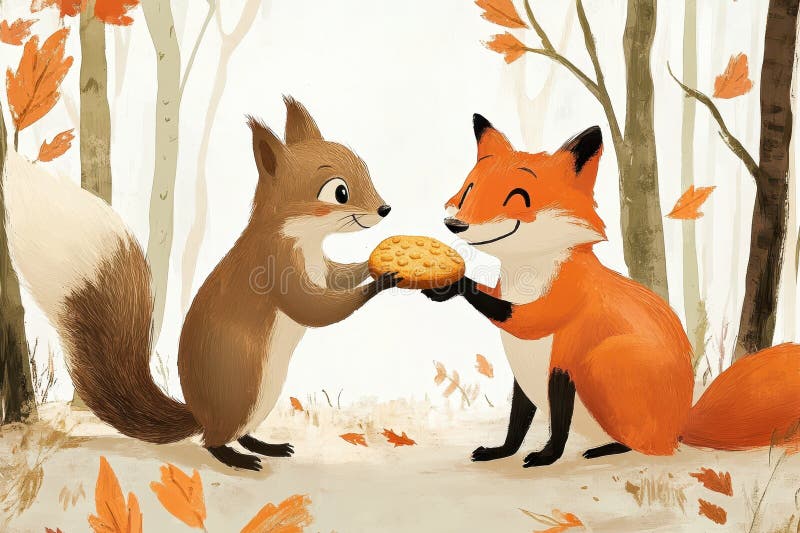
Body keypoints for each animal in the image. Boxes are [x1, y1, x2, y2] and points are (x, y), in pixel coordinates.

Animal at [4, 96, 400, 471]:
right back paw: (238, 458)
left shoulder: (323, 268)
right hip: (242, 390)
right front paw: (383, 281)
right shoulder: (275, 268)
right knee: (213, 442)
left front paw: (375, 262)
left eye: (364, 166)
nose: (385, 209)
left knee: (240, 434)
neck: (305, 237)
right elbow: (314, 309)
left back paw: (266, 446)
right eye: (339, 192)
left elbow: (340, 275)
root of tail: (200, 414)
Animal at [423, 114, 800, 467]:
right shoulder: (524, 369)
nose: (455, 224)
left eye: (518, 198)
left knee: (647, 446)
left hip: (604, 362)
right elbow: (518, 423)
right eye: (469, 190)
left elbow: (553, 415)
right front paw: (502, 452)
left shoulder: (561, 346)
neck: (527, 277)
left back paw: (609, 448)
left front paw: (546, 457)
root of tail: (680, 424)